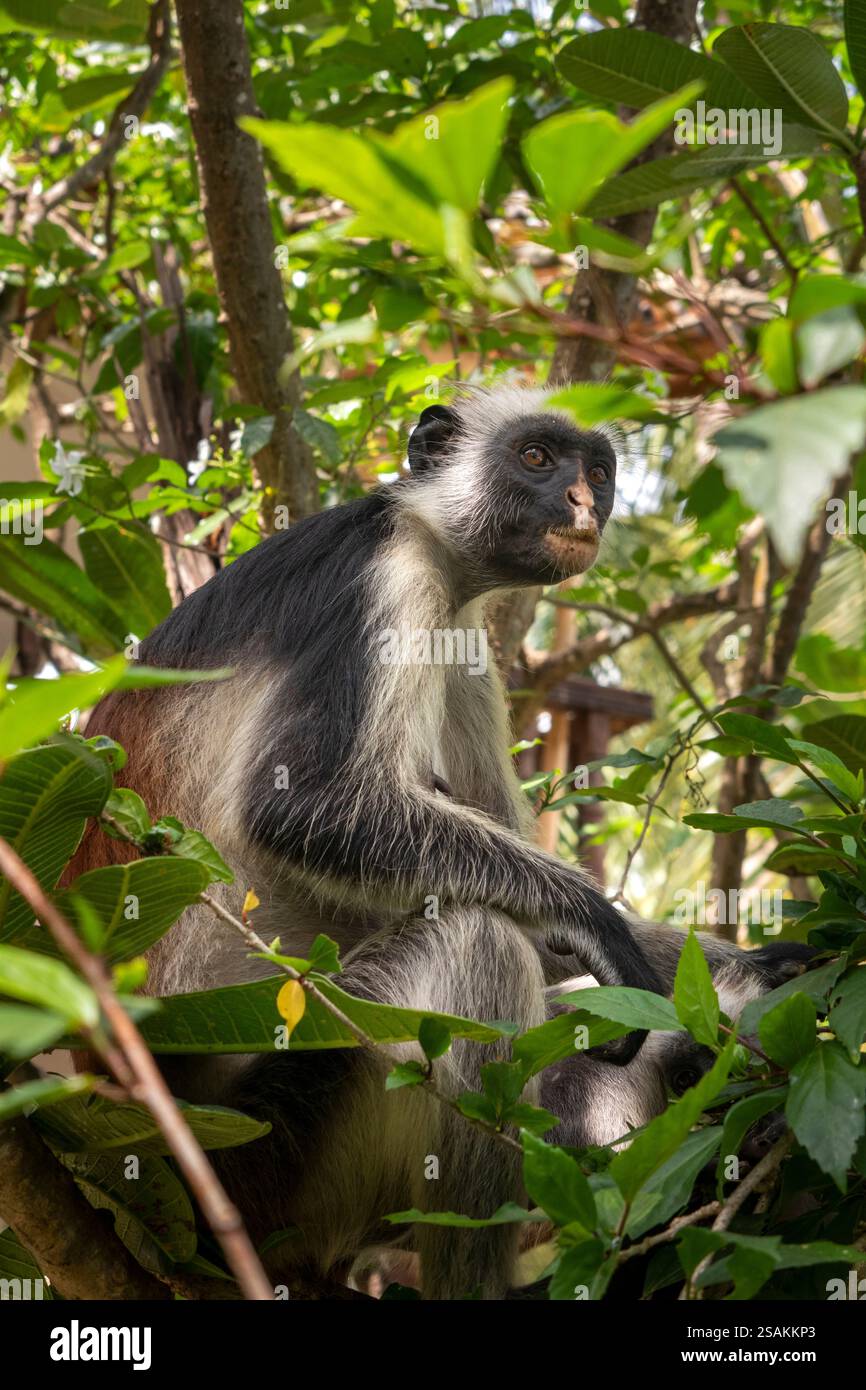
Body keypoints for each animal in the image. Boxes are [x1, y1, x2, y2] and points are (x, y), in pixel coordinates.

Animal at [70, 383, 677, 1298]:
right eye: (537, 458)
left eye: (597, 472)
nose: (581, 501)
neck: (426, 532)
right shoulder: (382, 580)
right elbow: (302, 811)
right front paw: (597, 921)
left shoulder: (459, 632)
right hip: (271, 1147)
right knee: (477, 941)